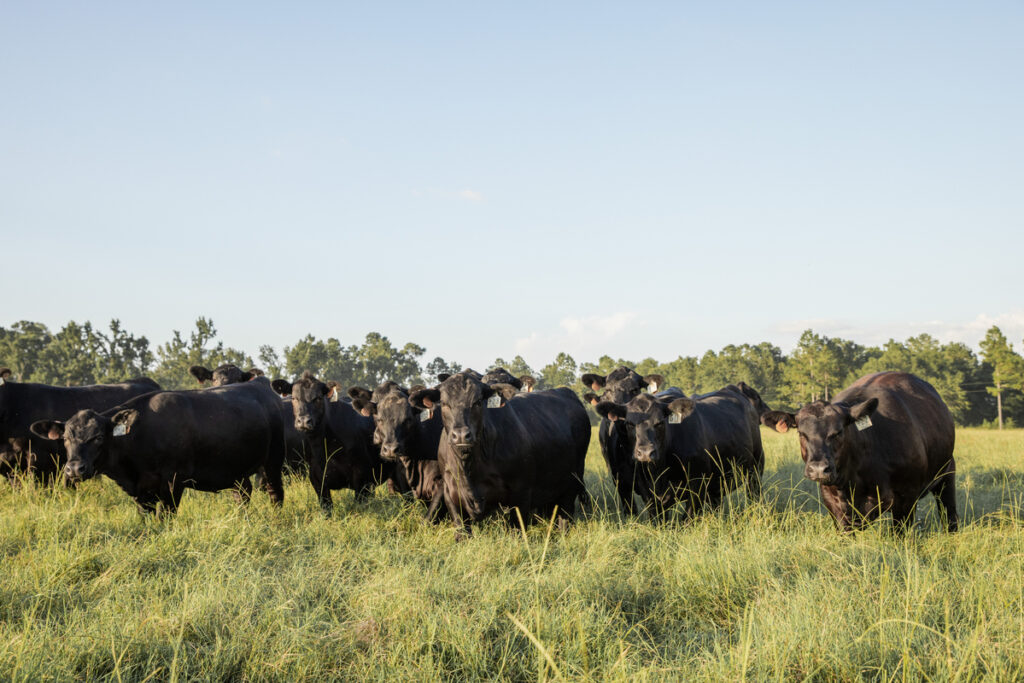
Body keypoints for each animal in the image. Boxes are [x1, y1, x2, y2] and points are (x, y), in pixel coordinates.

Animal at [28, 381, 287, 512]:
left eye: (99, 437)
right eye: (65, 438)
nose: (74, 469)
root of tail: (260, 384)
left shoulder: (173, 482)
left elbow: (166, 516)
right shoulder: (142, 491)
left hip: (273, 461)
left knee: (275, 494)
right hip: (236, 469)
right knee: (242, 494)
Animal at [409, 371, 591, 537]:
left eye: (477, 402)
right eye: (444, 403)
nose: (461, 435)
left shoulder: (522, 493)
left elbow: (517, 532)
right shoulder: (450, 493)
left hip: (572, 482)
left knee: (564, 518)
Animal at [595, 383, 765, 518]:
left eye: (660, 422)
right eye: (629, 423)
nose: (646, 453)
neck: (658, 473)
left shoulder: (698, 483)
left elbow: (687, 519)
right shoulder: (646, 491)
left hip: (756, 468)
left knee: (754, 495)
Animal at [761, 371, 958, 533]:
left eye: (838, 431)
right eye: (801, 433)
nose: (818, 469)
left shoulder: (906, 497)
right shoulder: (832, 501)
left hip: (947, 474)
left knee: (949, 513)